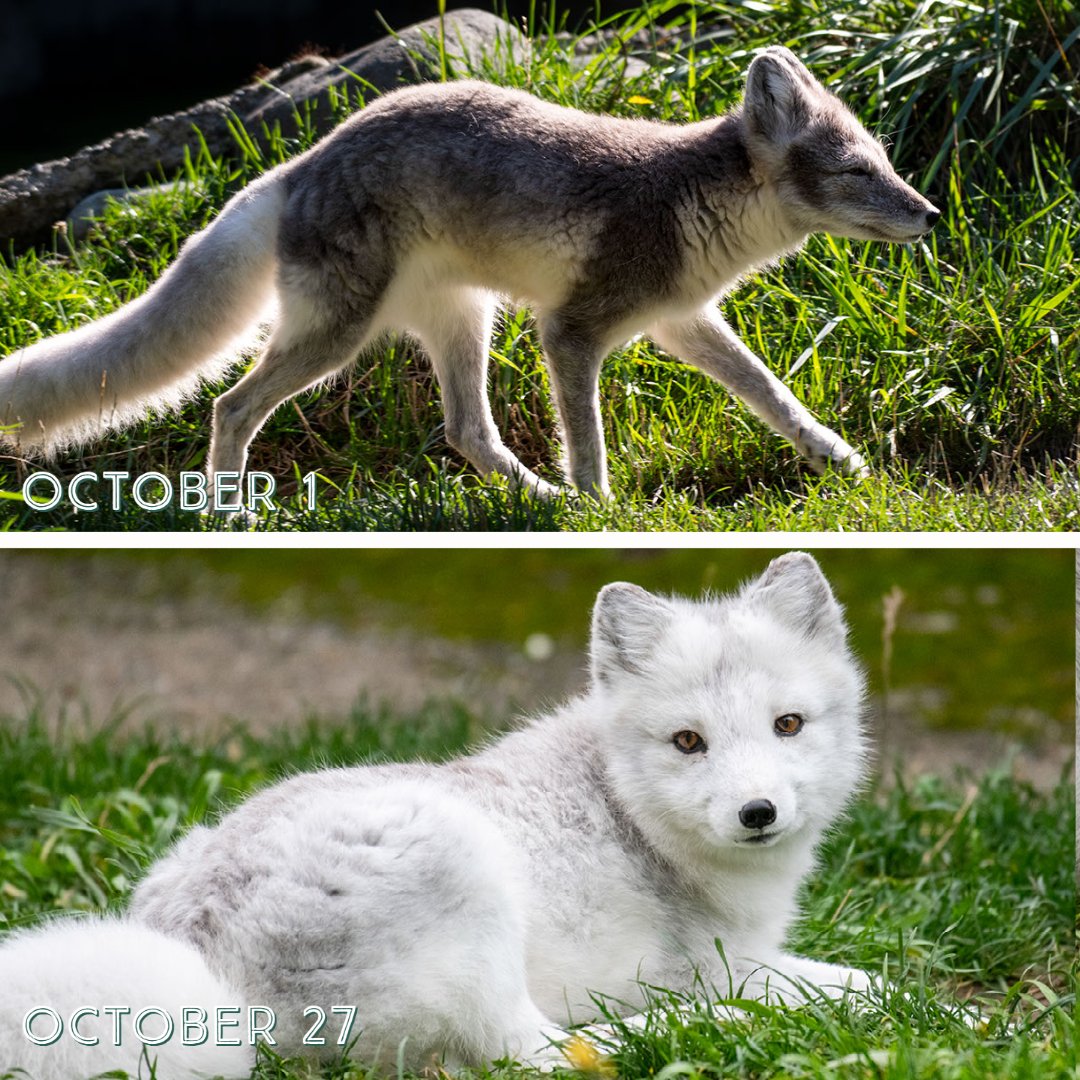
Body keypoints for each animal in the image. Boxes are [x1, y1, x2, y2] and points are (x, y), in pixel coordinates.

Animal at [0, 49, 939, 501]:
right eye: (856, 171)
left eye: (886, 163)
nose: (930, 215)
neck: (690, 202)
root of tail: (302, 162)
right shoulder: (572, 330)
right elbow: (589, 442)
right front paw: (606, 509)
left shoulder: (679, 320)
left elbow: (771, 392)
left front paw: (838, 459)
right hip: (341, 338)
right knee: (232, 407)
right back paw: (226, 516)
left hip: (462, 321)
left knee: (466, 434)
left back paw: (544, 506)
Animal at [0, 553, 873, 1079]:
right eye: (688, 741)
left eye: (788, 725)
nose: (757, 812)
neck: (628, 810)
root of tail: (207, 965)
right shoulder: (718, 964)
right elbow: (839, 985)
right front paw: (873, 1007)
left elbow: (851, 976)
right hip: (464, 868)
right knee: (547, 1051)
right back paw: (693, 1027)